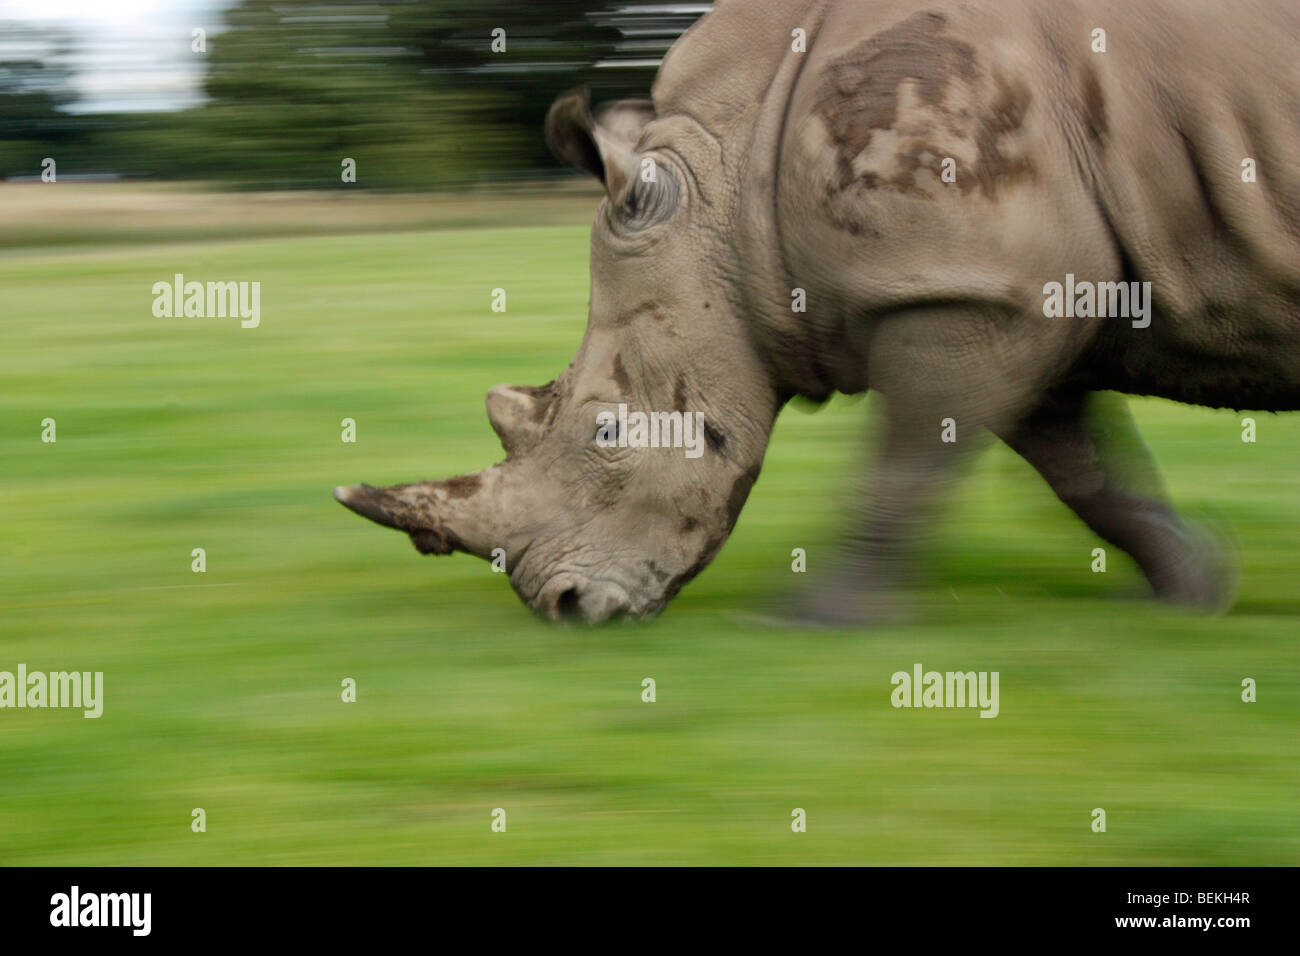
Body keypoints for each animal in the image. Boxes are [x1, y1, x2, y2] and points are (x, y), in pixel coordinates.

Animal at [335, 0, 1300, 623]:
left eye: (606, 432)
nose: (563, 608)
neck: (733, 167)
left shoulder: (955, 285)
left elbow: (903, 469)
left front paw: (814, 617)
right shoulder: (1006, 284)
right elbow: (1083, 467)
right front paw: (1189, 591)